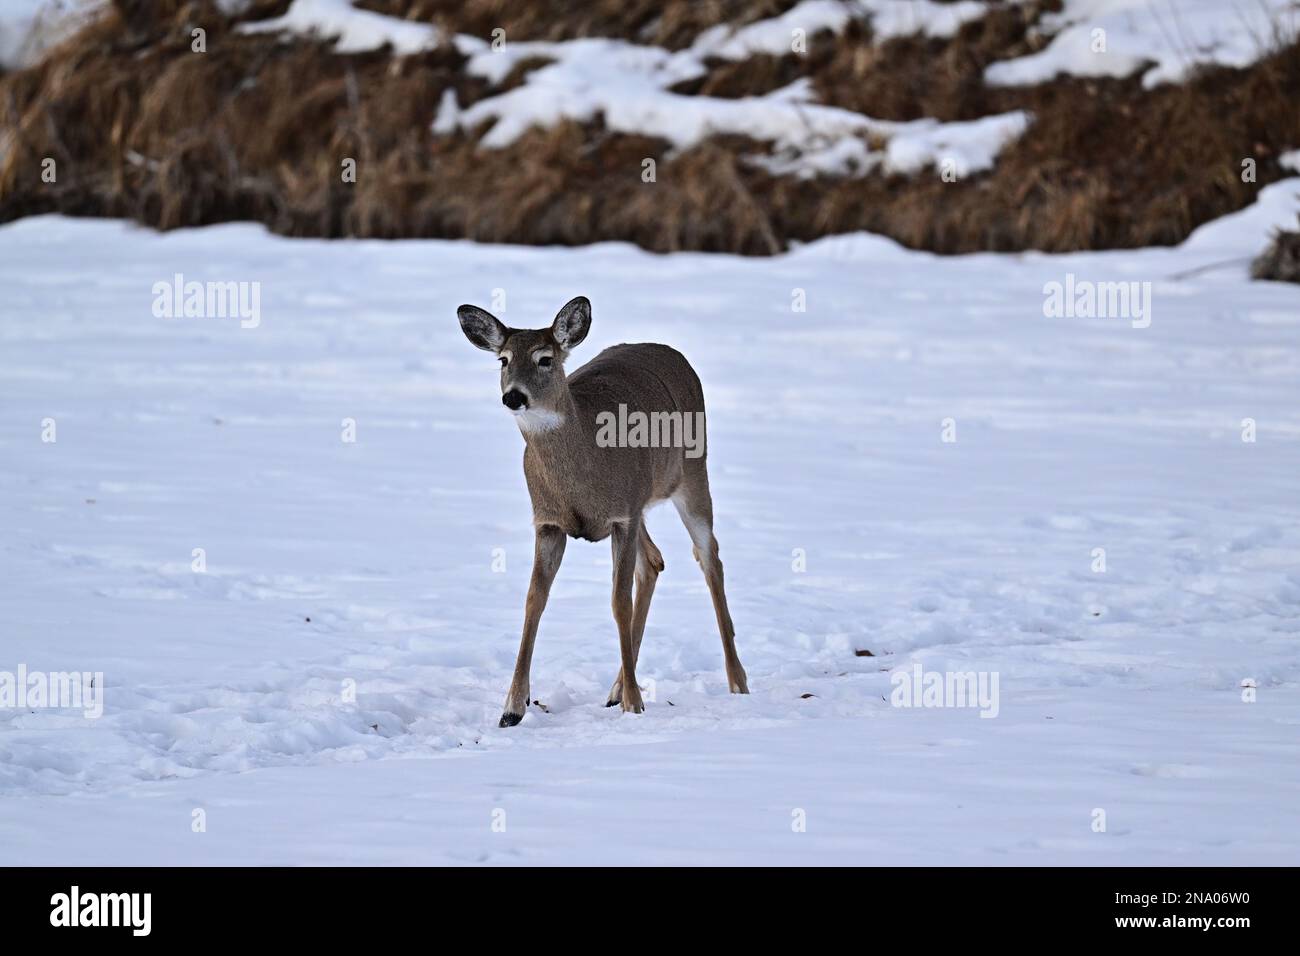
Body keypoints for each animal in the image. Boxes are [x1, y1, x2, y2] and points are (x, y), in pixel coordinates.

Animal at [457, 296, 749, 728]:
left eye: (545, 359)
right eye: (503, 360)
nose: (513, 397)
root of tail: (671, 352)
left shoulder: (621, 517)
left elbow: (618, 602)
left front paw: (635, 703)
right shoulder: (549, 521)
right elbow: (533, 599)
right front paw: (512, 707)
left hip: (692, 474)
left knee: (709, 557)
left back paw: (737, 682)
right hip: (643, 503)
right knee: (655, 561)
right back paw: (614, 689)